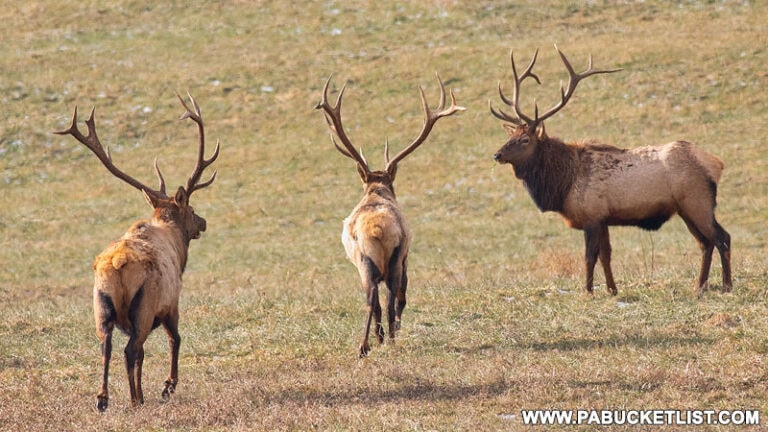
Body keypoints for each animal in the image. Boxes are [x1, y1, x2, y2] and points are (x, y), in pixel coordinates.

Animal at [54, 94, 219, 411]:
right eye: (192, 209)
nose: (204, 222)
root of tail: (118, 264)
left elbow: (142, 355)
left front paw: (145, 390)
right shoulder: (170, 303)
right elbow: (175, 339)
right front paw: (167, 386)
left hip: (101, 305)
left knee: (106, 346)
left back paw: (103, 399)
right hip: (144, 304)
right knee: (131, 349)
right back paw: (133, 400)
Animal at [315, 74, 464, 357]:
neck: (377, 191)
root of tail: (377, 228)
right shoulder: (405, 256)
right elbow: (400, 299)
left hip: (369, 260)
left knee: (375, 297)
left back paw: (368, 344)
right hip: (392, 260)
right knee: (388, 296)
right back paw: (384, 340)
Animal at [491, 46, 732, 297]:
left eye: (525, 139)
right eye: (511, 135)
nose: (496, 155)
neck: (563, 184)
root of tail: (716, 164)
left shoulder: (591, 216)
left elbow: (589, 257)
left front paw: (588, 291)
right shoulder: (603, 219)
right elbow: (606, 256)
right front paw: (612, 289)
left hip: (698, 202)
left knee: (721, 237)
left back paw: (726, 285)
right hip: (685, 209)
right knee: (705, 243)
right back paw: (699, 285)